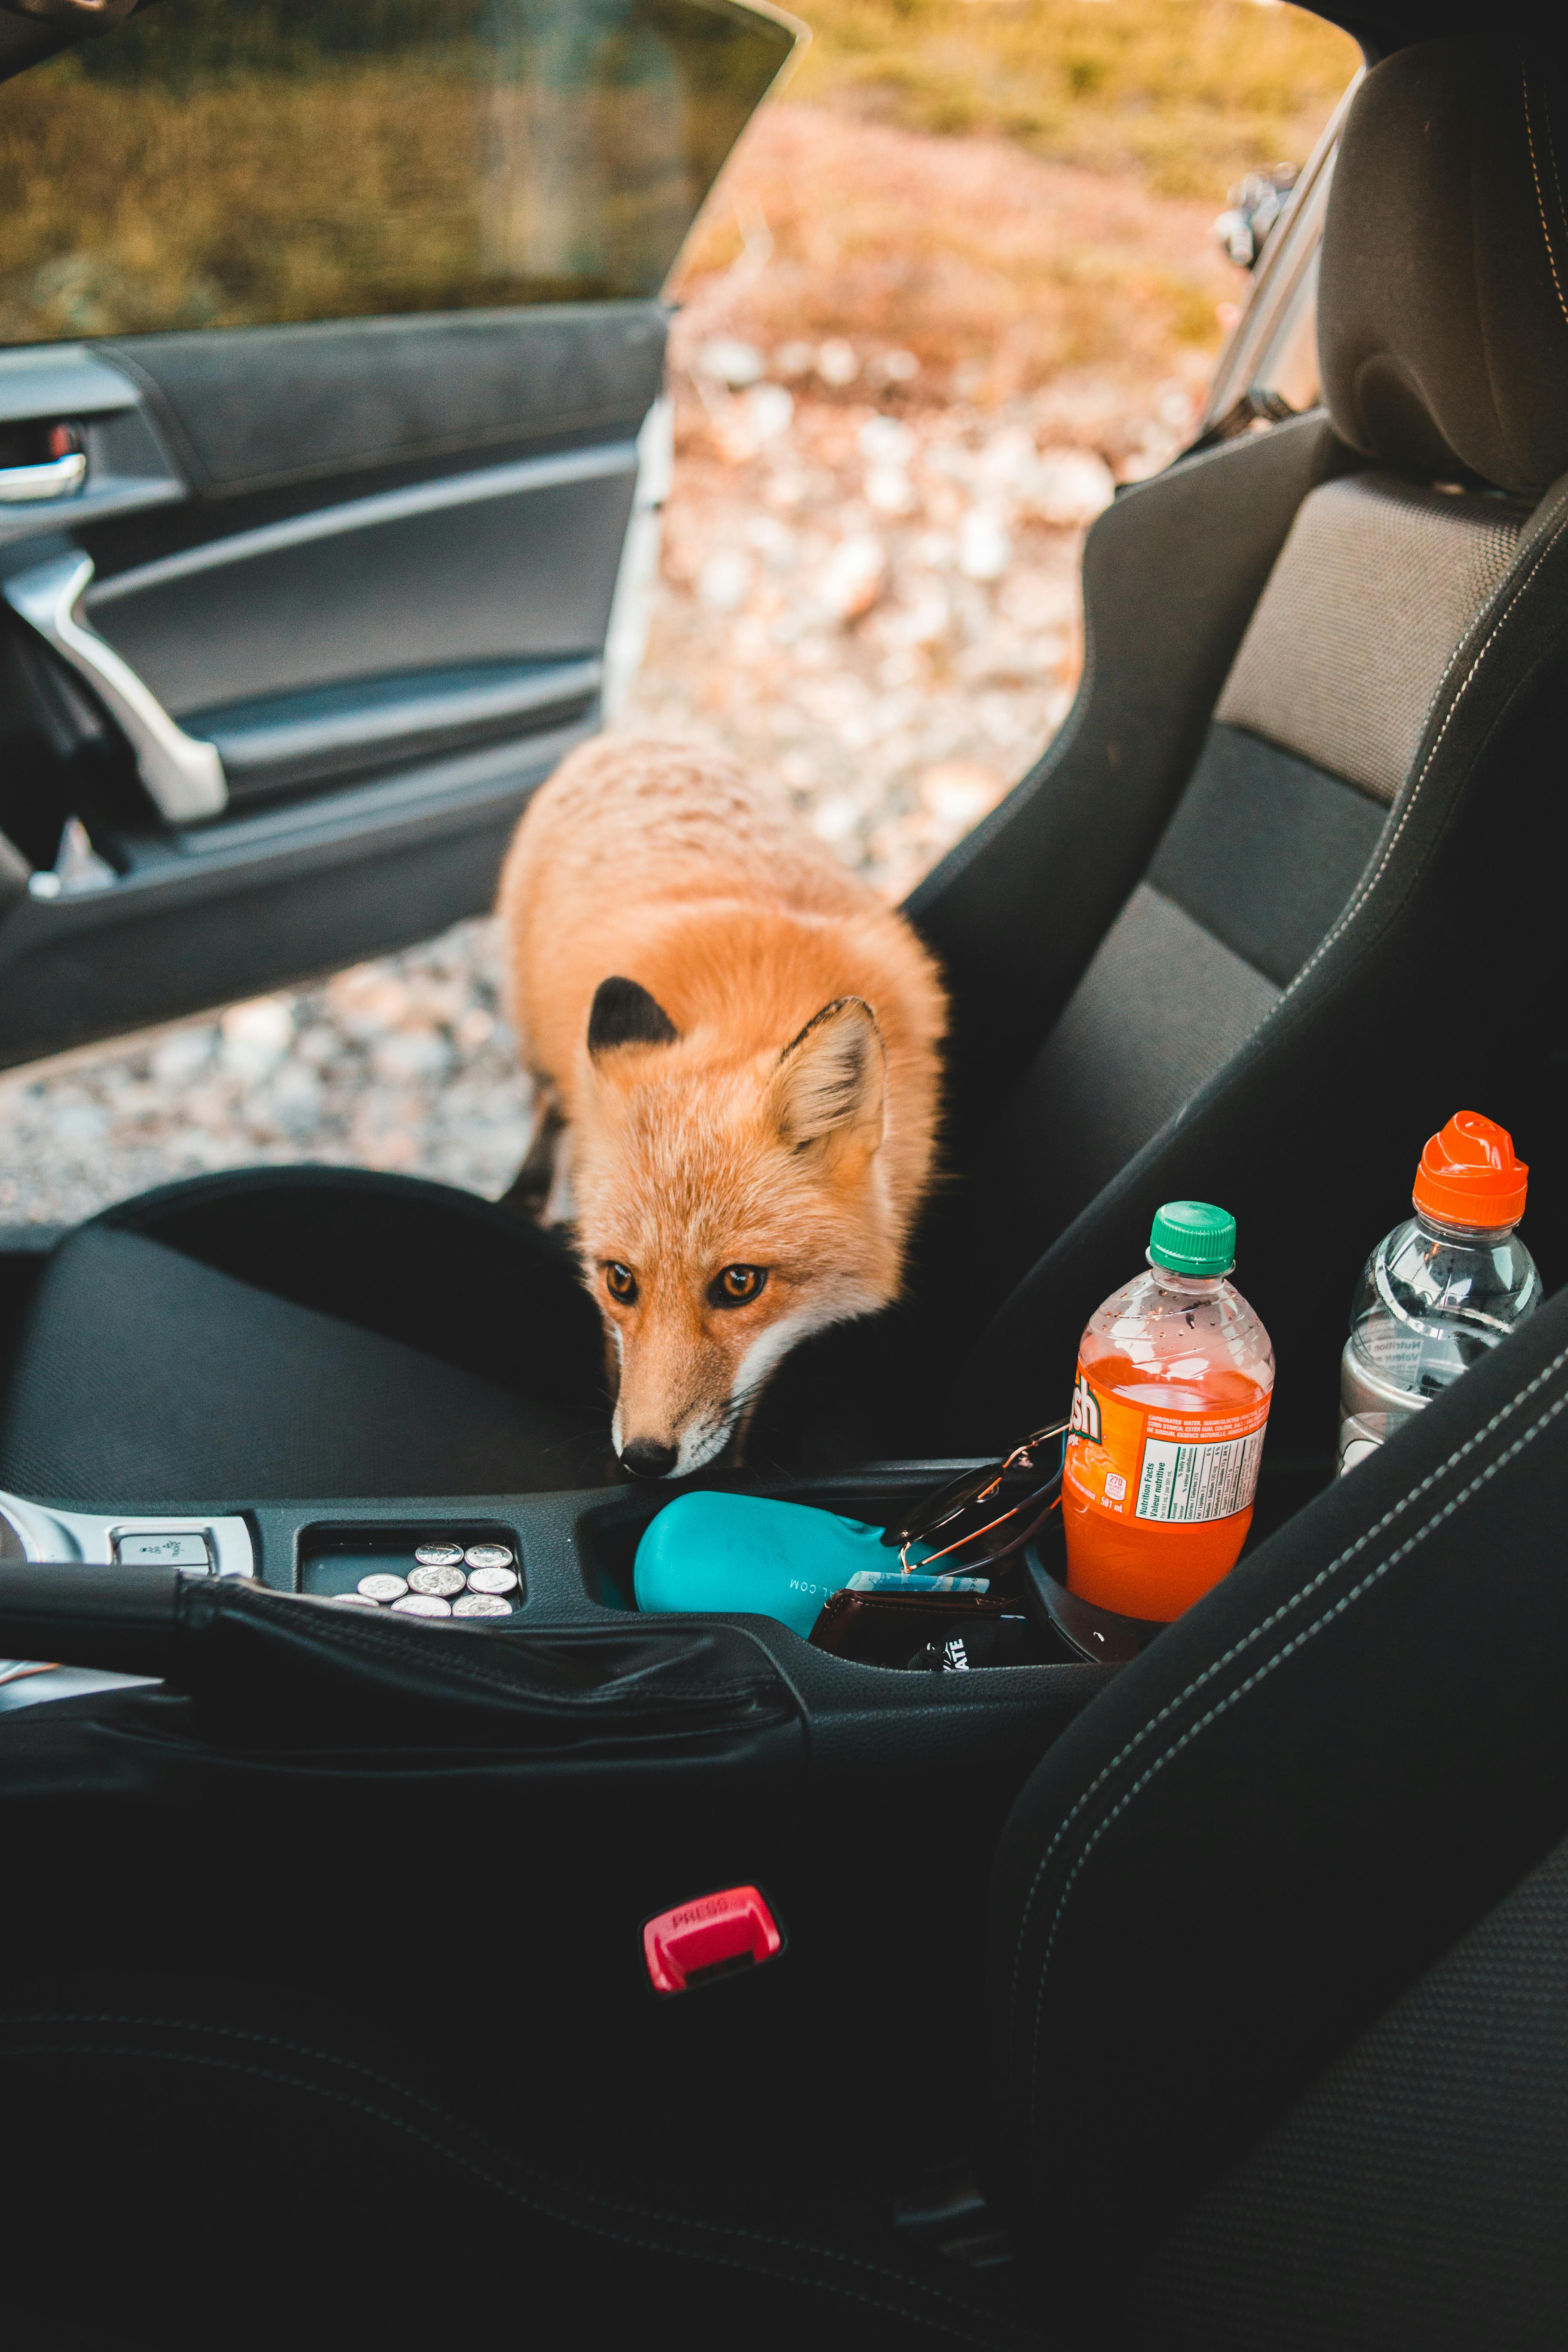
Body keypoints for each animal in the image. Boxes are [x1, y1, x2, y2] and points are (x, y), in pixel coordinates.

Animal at [497, 736, 947, 1478]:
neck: (757, 999)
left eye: (739, 1284)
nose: (644, 1461)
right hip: (536, 1037)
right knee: (548, 1104)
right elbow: (618, 1368)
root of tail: (641, 740)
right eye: (620, 1280)